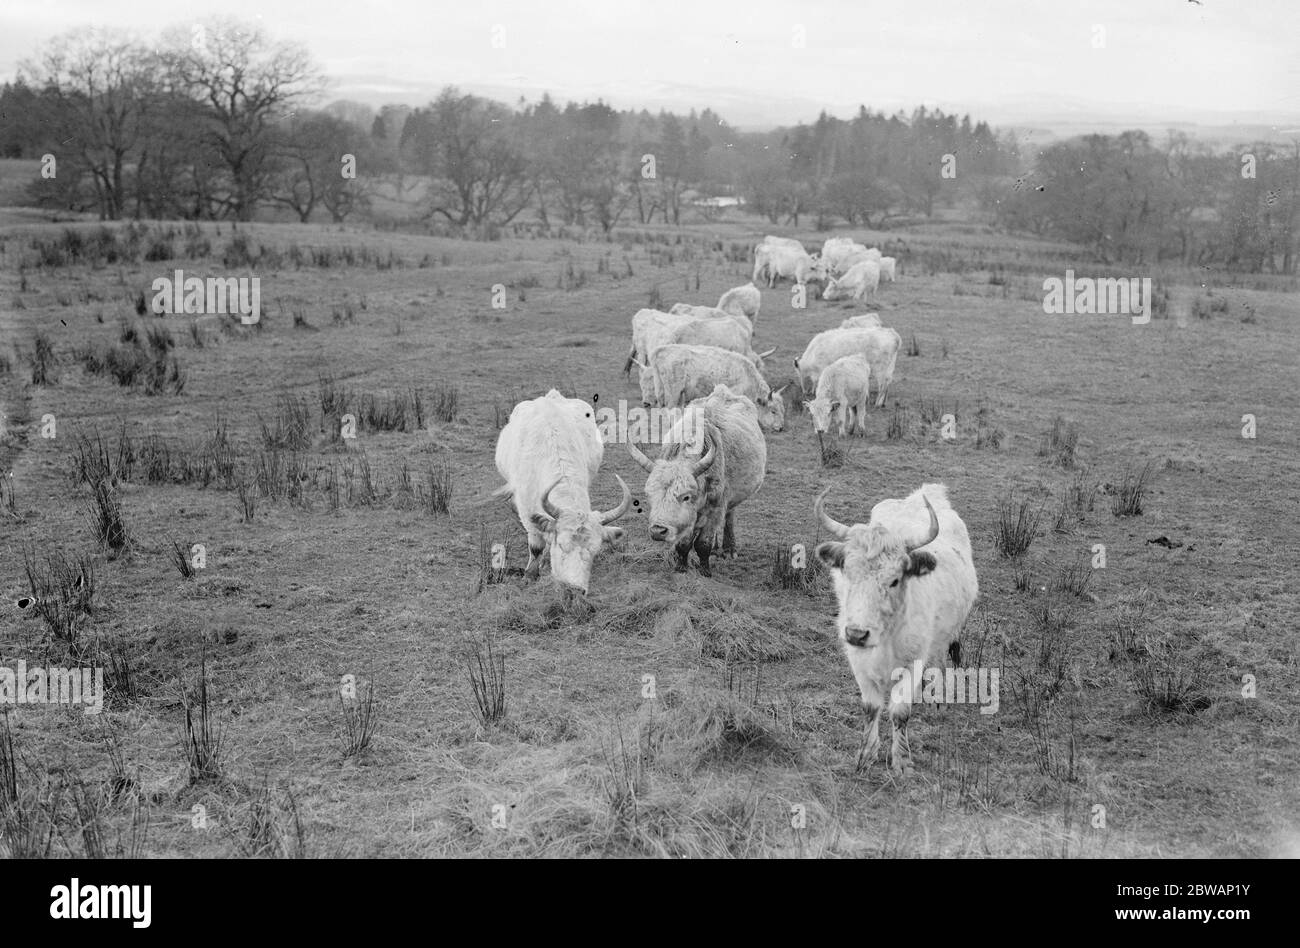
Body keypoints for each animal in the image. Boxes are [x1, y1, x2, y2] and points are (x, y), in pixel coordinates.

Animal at [493, 390, 632, 596]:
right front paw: (530, 575)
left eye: (594, 551)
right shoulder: (528, 513)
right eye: (561, 545)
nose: (574, 589)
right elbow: (535, 546)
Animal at [628, 384, 766, 575]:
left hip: (730, 500)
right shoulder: (687, 519)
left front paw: (705, 570)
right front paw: (681, 566)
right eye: (649, 495)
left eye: (686, 496)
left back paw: (729, 549)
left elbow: (703, 543)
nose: (658, 531)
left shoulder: (715, 509)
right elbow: (684, 543)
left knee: (729, 516)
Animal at [813, 483, 978, 772]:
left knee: (939, 664)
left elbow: (900, 711)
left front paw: (902, 761)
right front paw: (866, 756)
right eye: (848, 574)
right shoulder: (858, 661)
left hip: (944, 637)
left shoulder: (914, 662)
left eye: (894, 580)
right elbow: (871, 707)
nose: (857, 634)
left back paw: (936, 701)